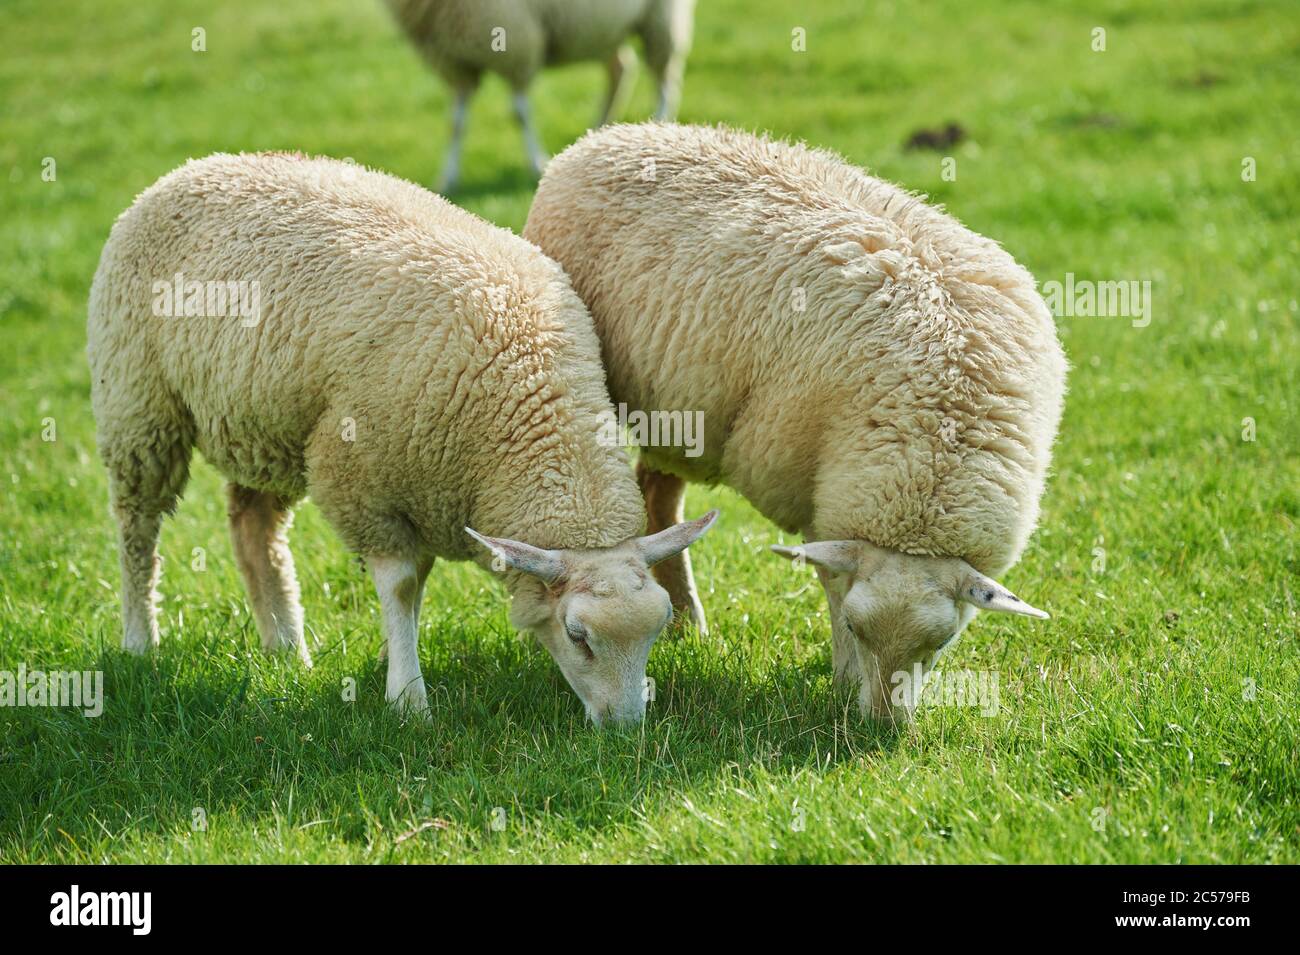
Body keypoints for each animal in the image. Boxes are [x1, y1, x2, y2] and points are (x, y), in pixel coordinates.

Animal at [87, 151, 717, 725]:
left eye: (661, 627)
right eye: (578, 635)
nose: (626, 730)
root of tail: (197, 165)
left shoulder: (424, 488)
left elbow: (416, 586)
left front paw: (394, 664)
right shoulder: (360, 478)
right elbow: (403, 585)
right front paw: (408, 697)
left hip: (266, 422)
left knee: (253, 530)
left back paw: (287, 649)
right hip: (139, 404)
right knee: (138, 530)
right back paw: (141, 642)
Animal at [382, 0, 696, 191]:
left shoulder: (517, 48)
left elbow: (519, 114)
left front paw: (537, 163)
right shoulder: (455, 64)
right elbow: (455, 124)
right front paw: (448, 178)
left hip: (660, 19)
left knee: (665, 80)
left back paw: (659, 128)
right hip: (604, 29)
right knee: (620, 69)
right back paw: (600, 129)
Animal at [523, 123, 1068, 722]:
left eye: (942, 643)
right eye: (855, 625)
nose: (883, 727)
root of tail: (607, 135)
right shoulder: (820, 490)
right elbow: (831, 583)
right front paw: (844, 679)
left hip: (679, 413)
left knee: (657, 495)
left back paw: (687, 623)